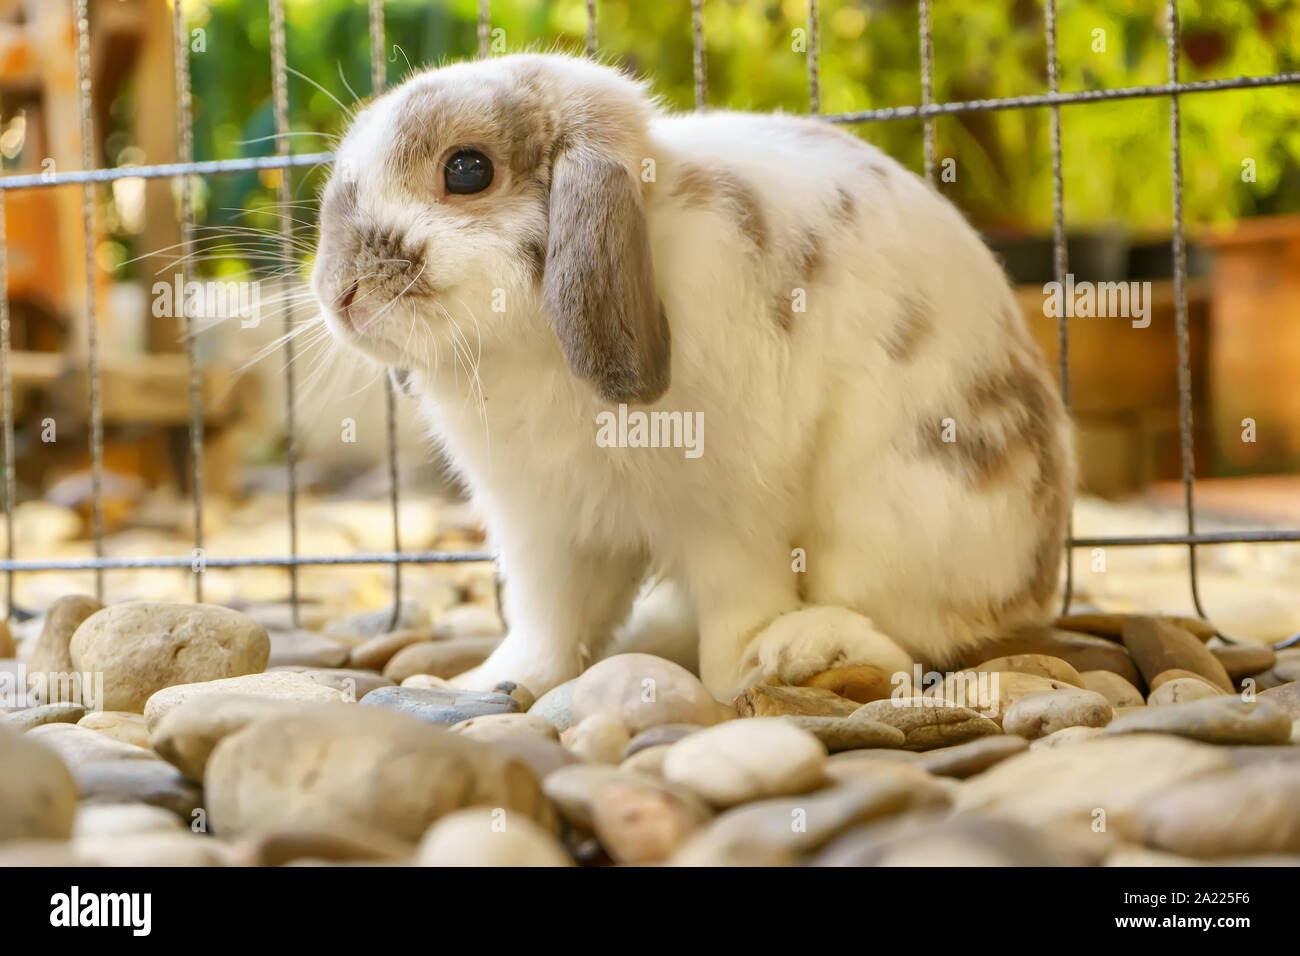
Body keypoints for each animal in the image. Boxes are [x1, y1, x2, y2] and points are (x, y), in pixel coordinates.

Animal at [311, 51, 1075, 703]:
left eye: (467, 170)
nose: (339, 293)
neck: (529, 352)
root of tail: (1037, 581)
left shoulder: (731, 514)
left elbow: (739, 600)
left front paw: (740, 674)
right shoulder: (542, 530)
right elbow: (547, 627)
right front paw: (485, 684)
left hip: (900, 511)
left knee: (905, 633)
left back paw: (801, 650)